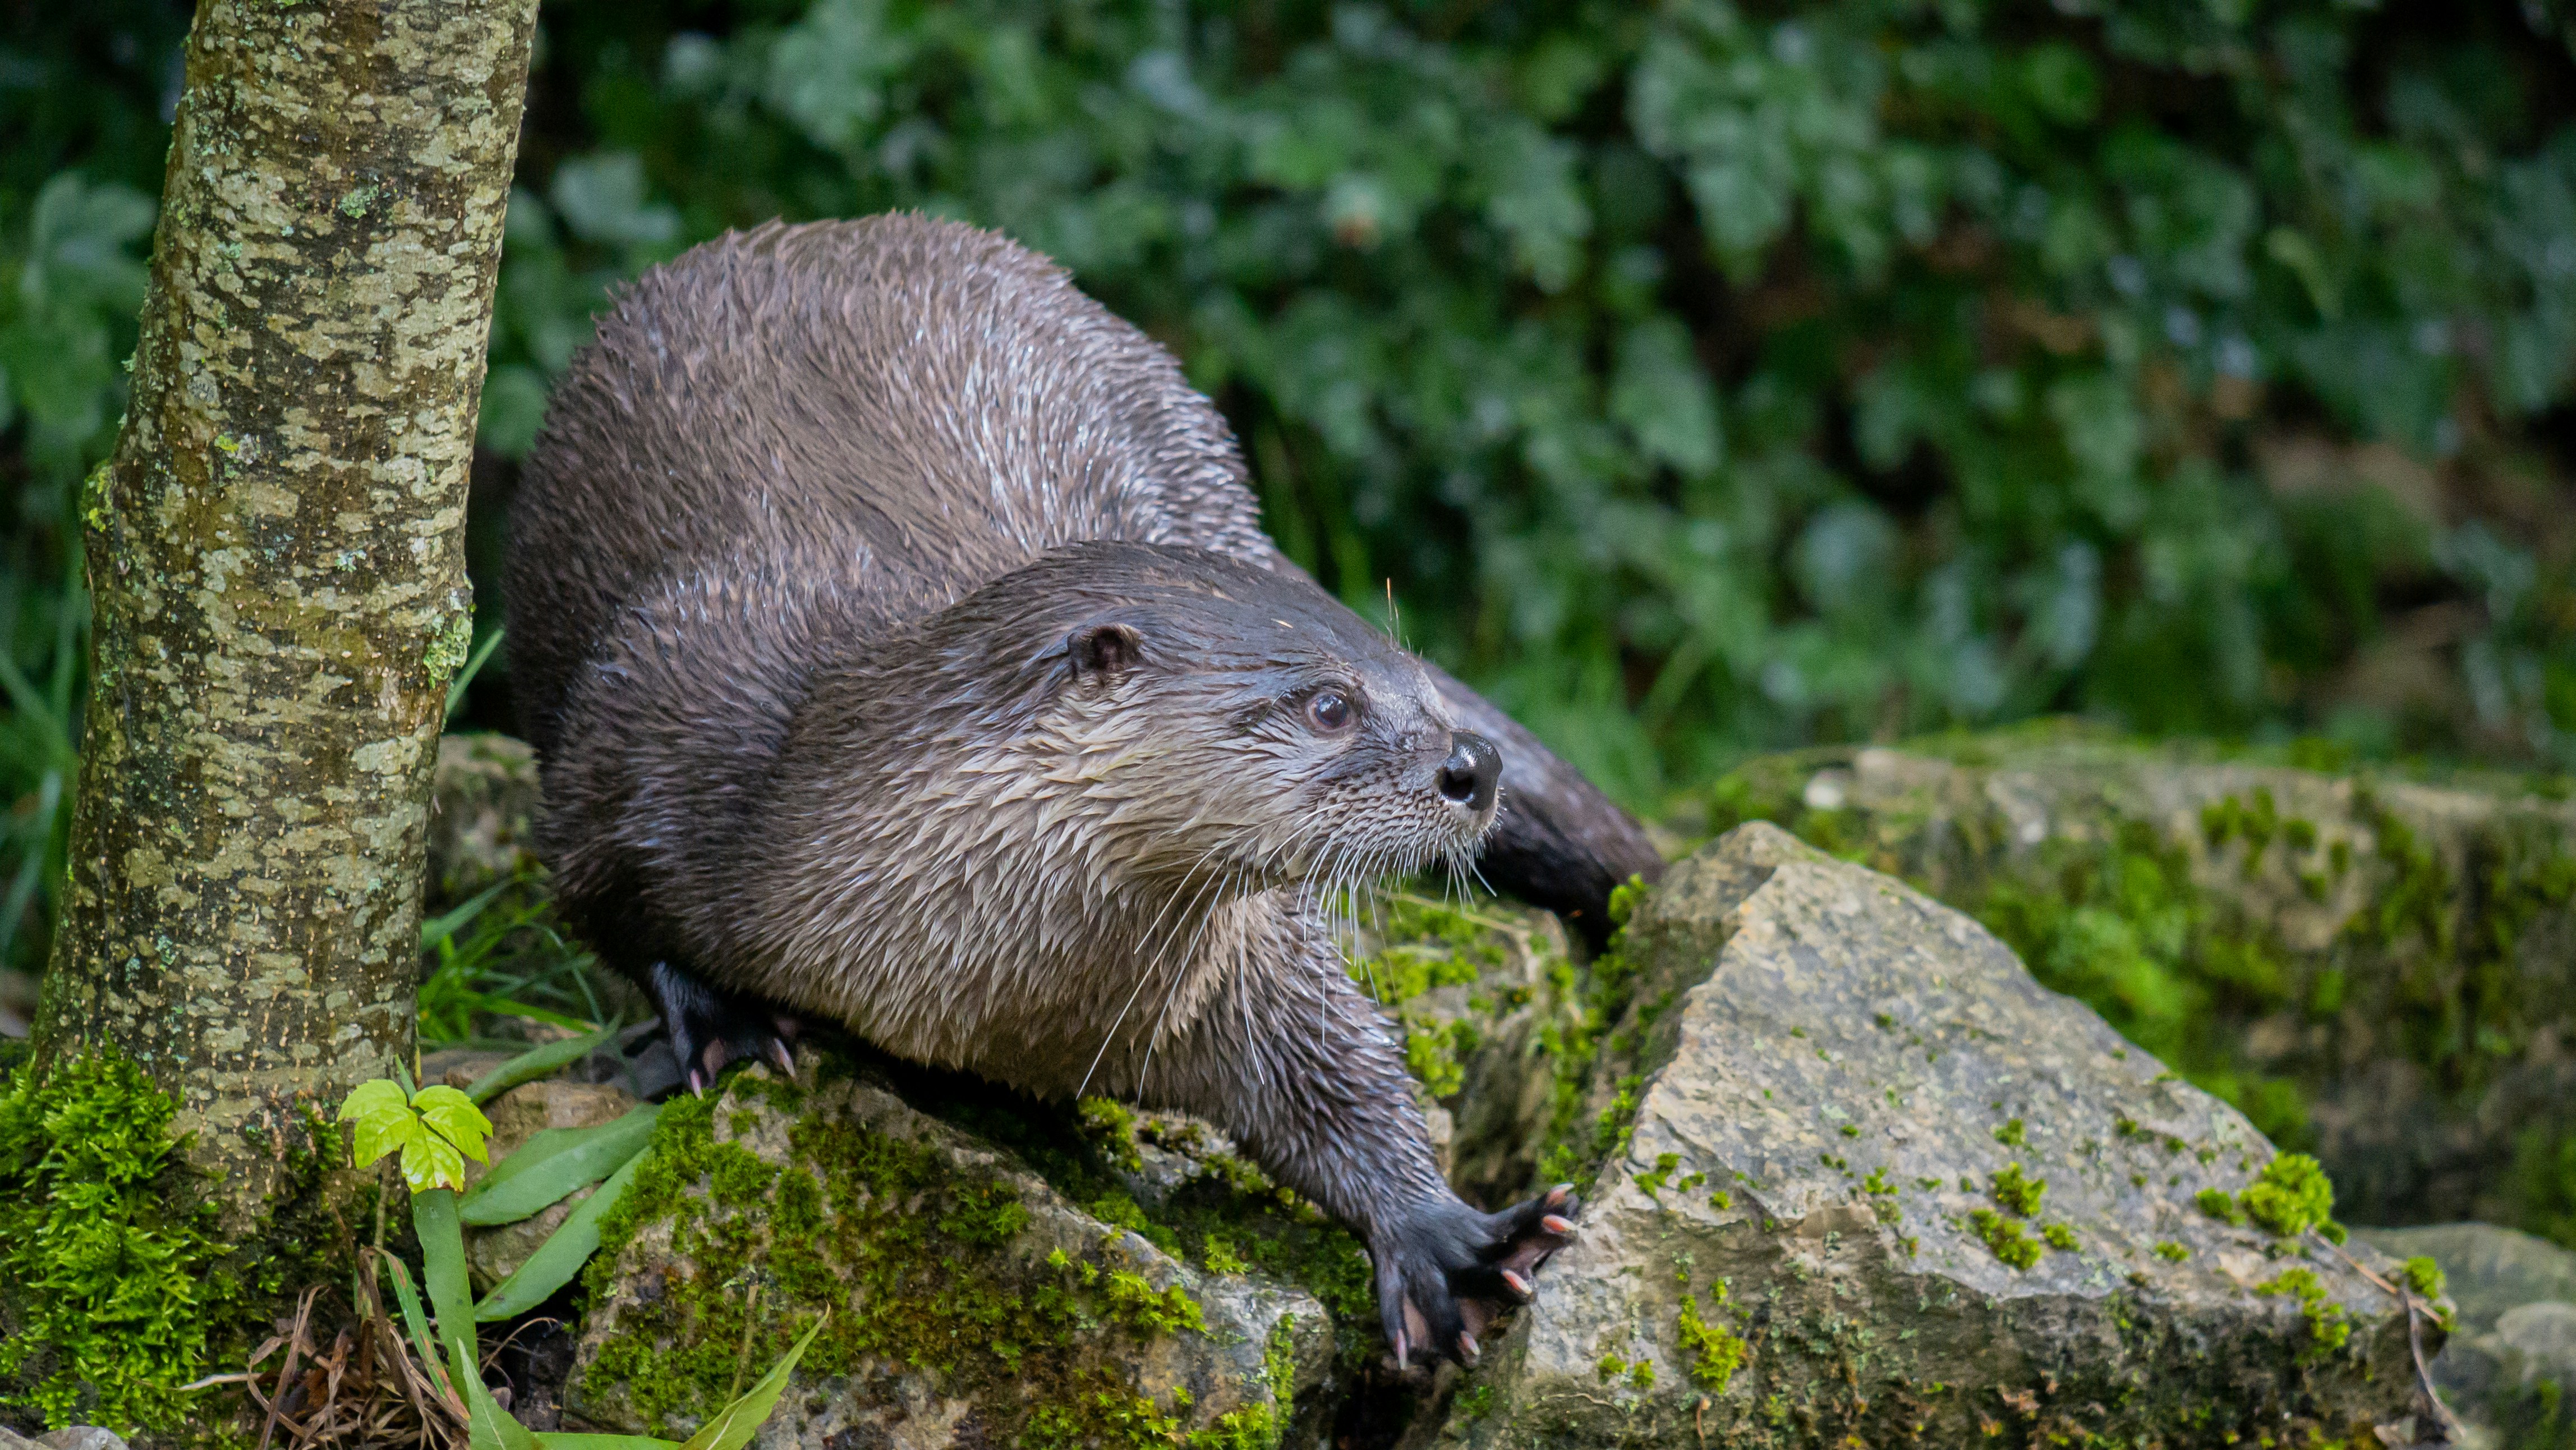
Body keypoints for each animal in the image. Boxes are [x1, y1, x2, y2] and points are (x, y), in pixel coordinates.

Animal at [505, 214, 1662, 1366]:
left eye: (1413, 669)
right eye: (1330, 703)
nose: (1475, 764)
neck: (988, 995)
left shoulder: (1240, 973)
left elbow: (1336, 1067)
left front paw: (1443, 1235)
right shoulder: (651, 718)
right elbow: (599, 892)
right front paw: (725, 1015)